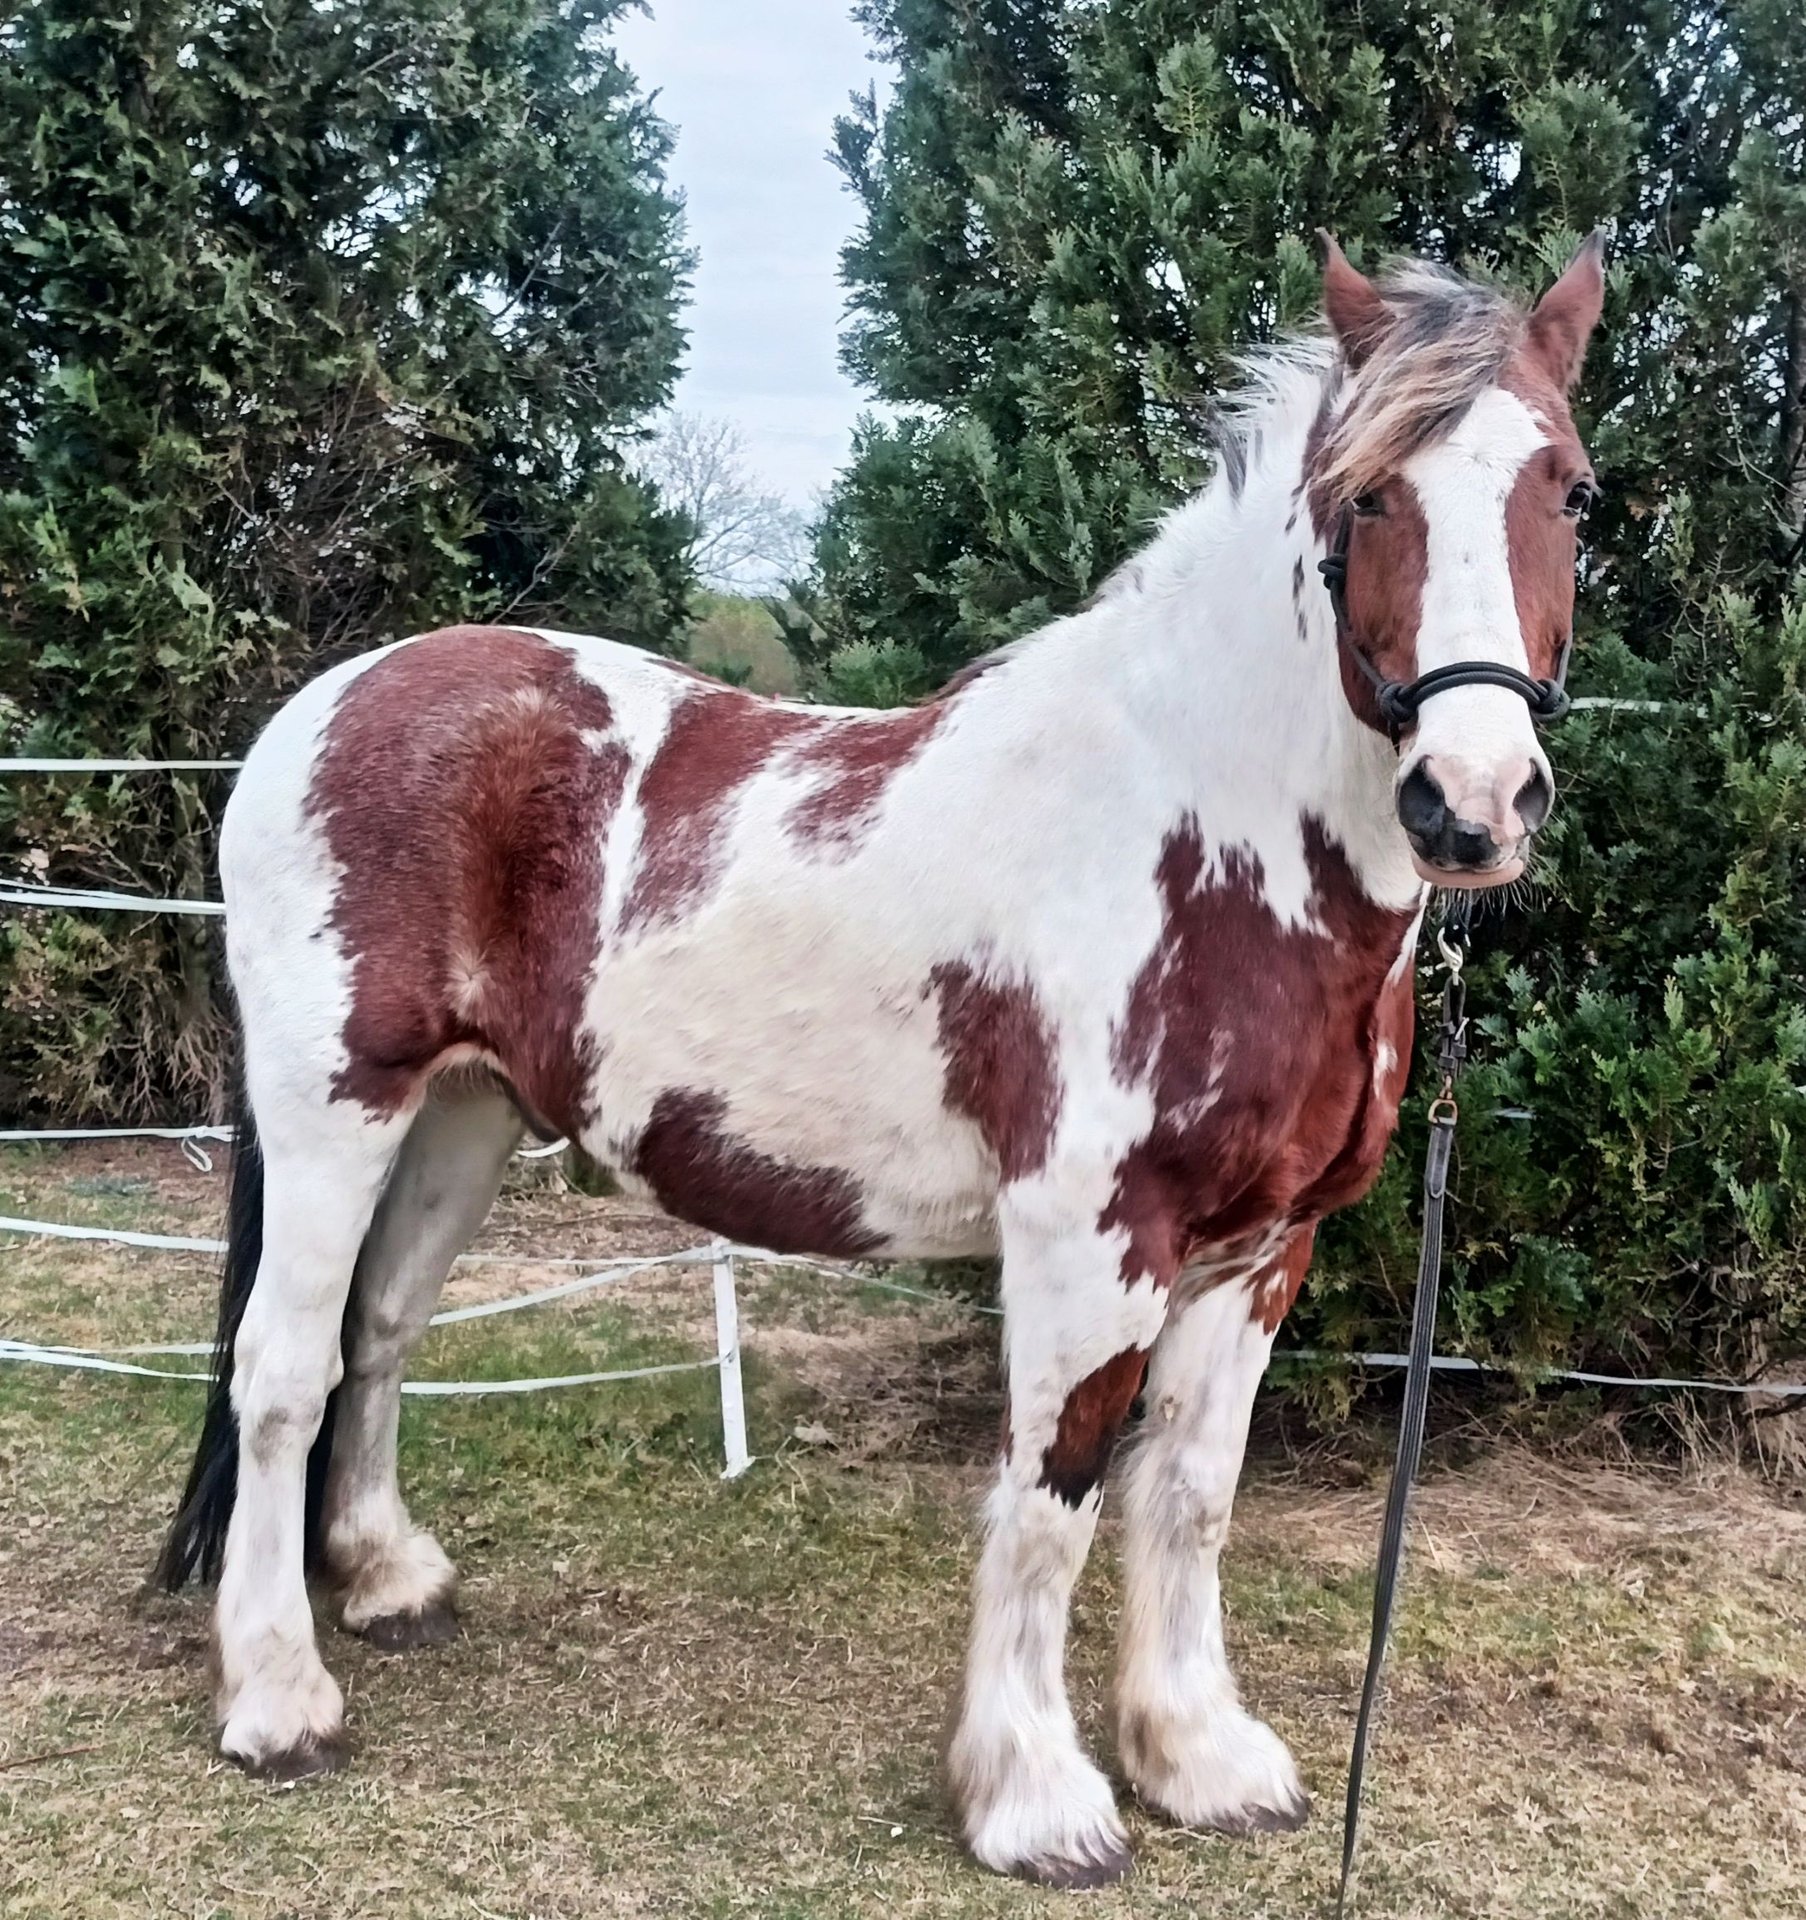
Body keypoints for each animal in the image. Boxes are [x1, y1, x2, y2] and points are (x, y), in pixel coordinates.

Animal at [156, 233, 1604, 1887]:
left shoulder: (1261, 1255)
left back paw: (389, 1580)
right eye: (1366, 499)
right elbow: (1051, 1500)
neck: (1200, 842)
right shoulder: (1088, 1244)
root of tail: (321, 712)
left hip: (462, 1112)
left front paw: (1198, 1758)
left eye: (1568, 492)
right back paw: (277, 1696)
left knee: (381, 1329)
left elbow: (1188, 1495)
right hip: (335, 1107)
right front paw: (1036, 1799)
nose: (1471, 802)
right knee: (280, 1369)